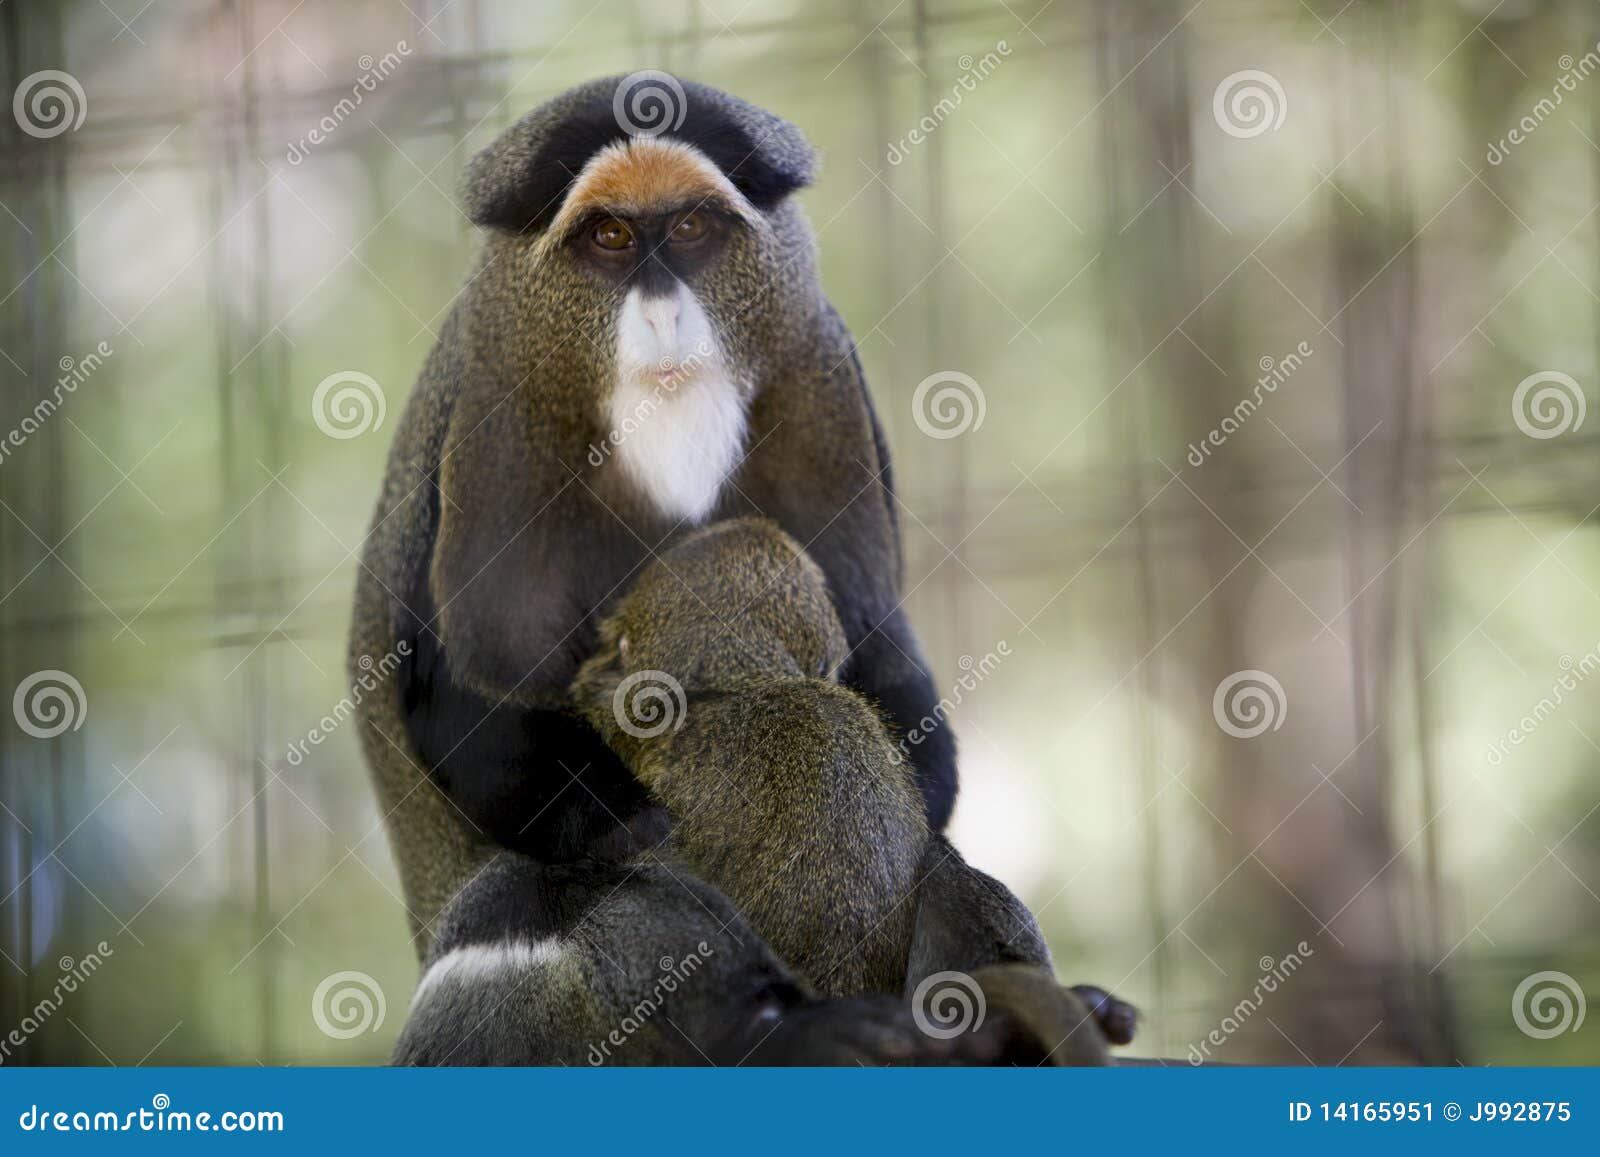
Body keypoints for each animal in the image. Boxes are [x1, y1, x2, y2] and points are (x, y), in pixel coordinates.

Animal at [352, 75, 973, 1059]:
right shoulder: (488, 410)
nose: (662, 311)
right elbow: (460, 700)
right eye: (609, 237)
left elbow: (881, 648)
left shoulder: (819, 367)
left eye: (688, 228)